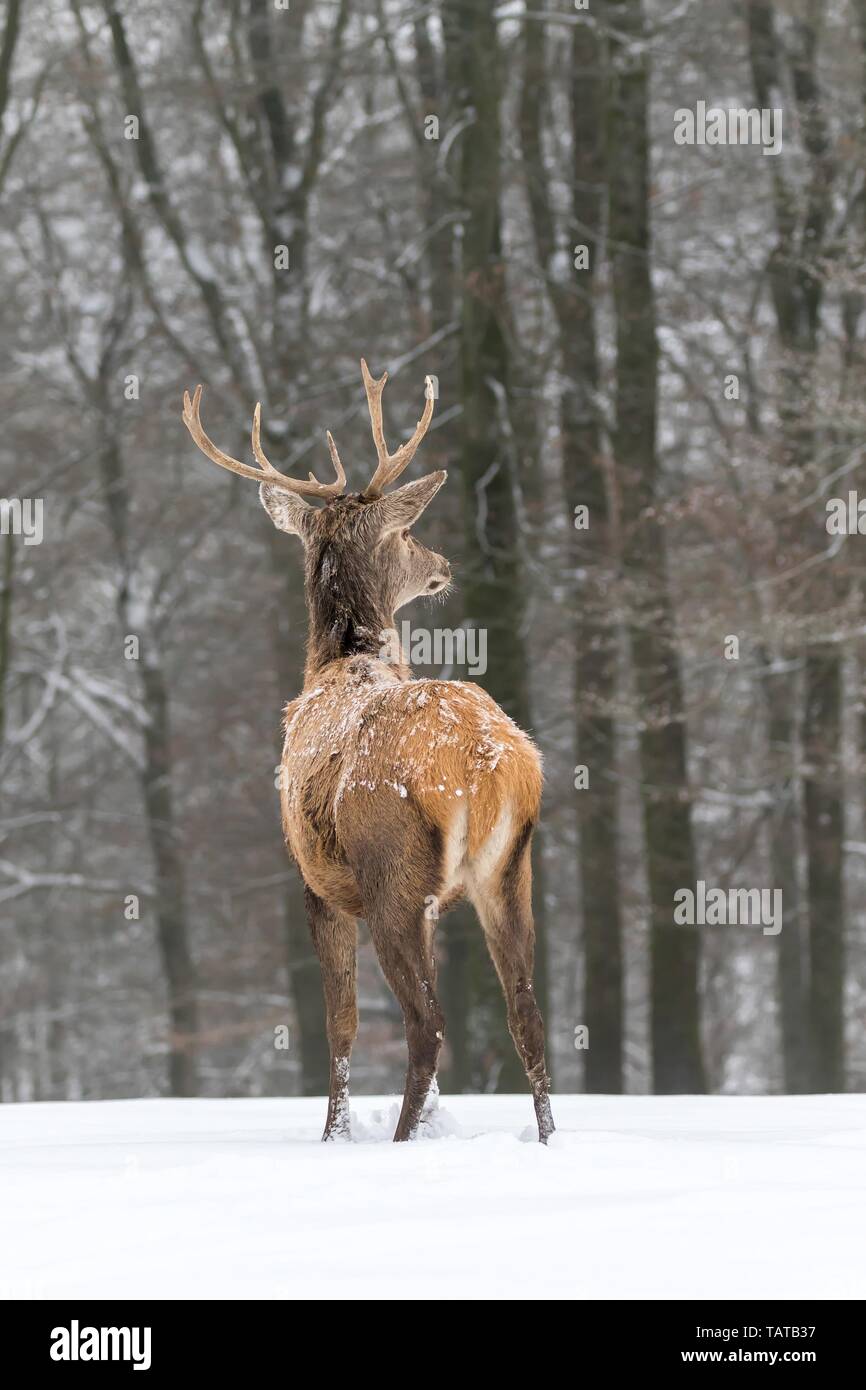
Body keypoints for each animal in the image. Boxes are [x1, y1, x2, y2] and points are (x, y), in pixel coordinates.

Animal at [181, 362, 554, 1144]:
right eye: (409, 531)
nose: (443, 563)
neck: (342, 661)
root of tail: (483, 759)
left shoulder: (313, 879)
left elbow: (341, 1025)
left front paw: (333, 1137)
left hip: (391, 867)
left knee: (426, 1023)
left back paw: (400, 1142)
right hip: (509, 867)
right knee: (526, 1011)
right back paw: (545, 1137)